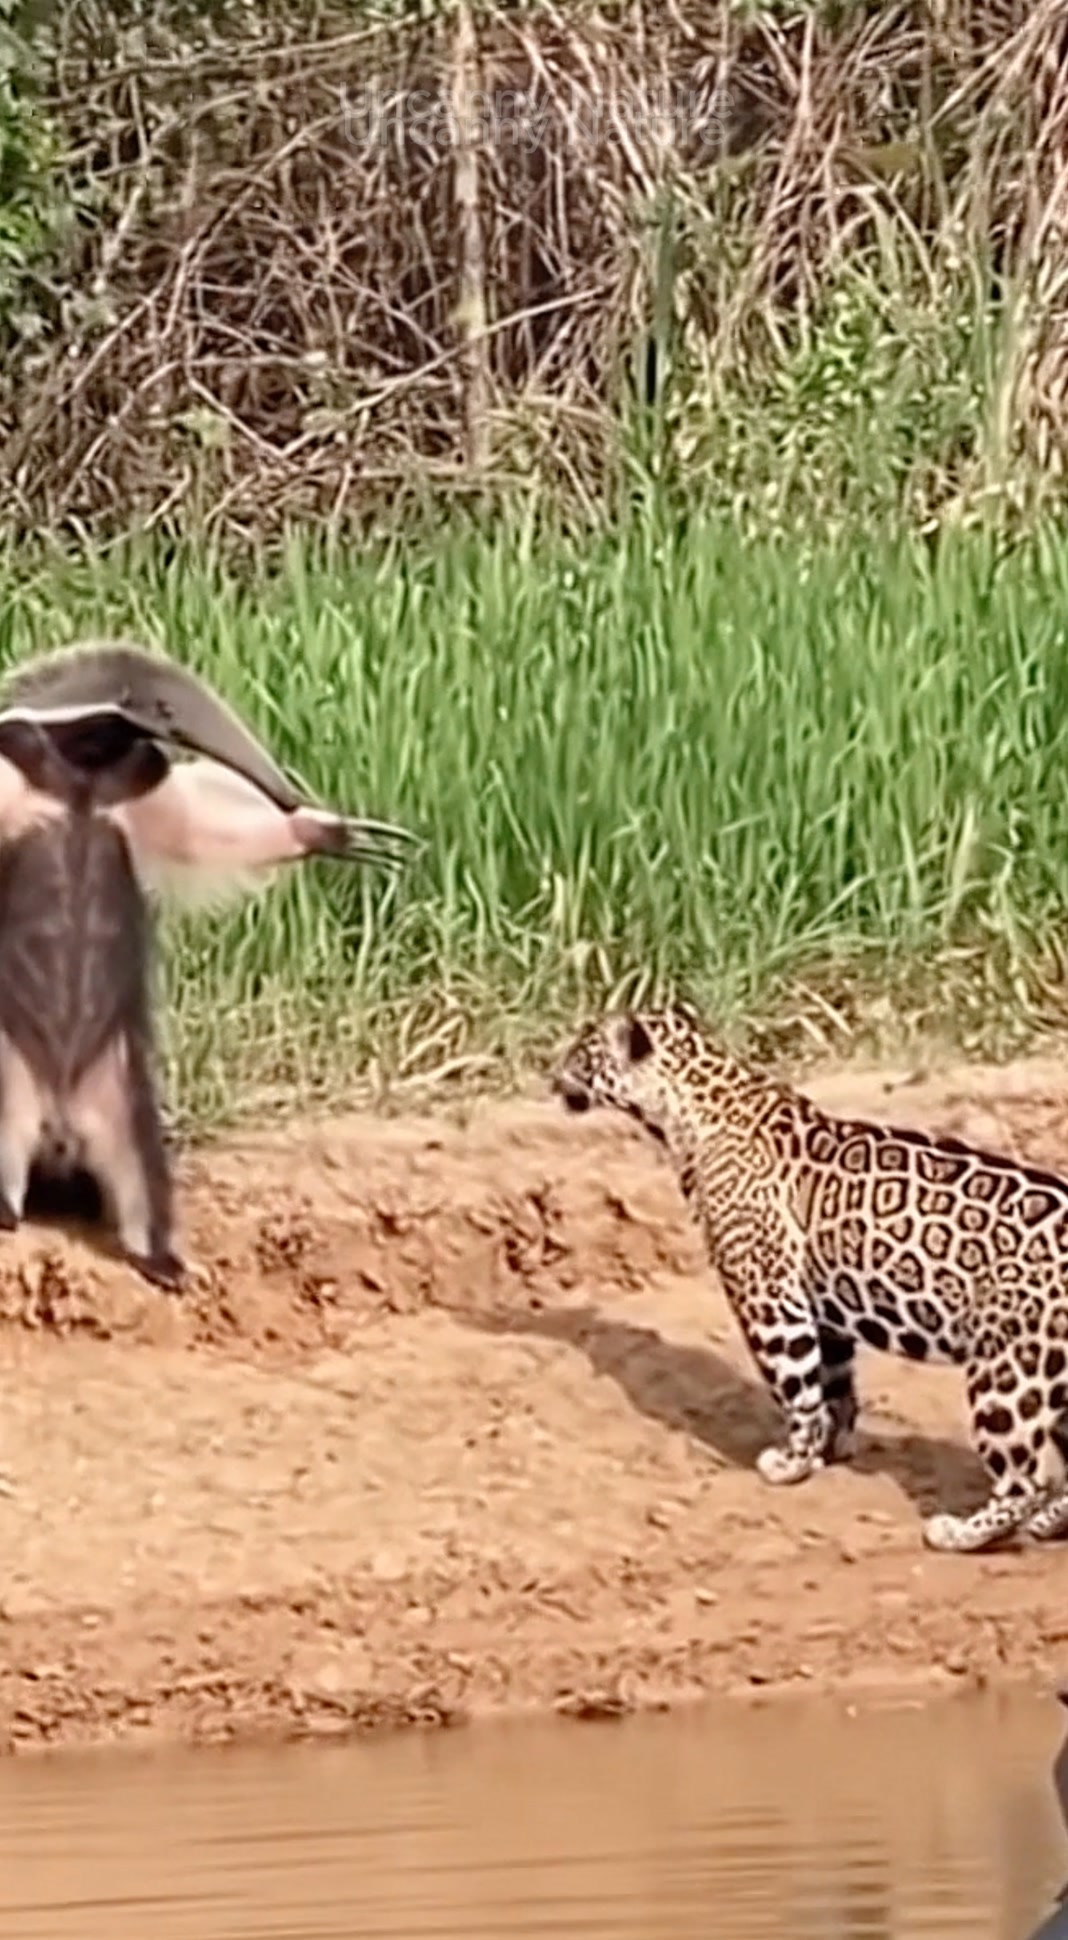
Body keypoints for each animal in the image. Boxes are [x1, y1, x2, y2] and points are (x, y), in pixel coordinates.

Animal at [551, 1002, 1068, 1554]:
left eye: (581, 1052)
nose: (550, 1077)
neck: (691, 1109)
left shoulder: (768, 1296)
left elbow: (794, 1384)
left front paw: (792, 1461)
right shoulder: (825, 1303)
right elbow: (834, 1384)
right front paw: (830, 1448)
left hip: (1009, 1368)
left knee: (1022, 1479)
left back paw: (962, 1532)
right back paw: (1048, 1524)